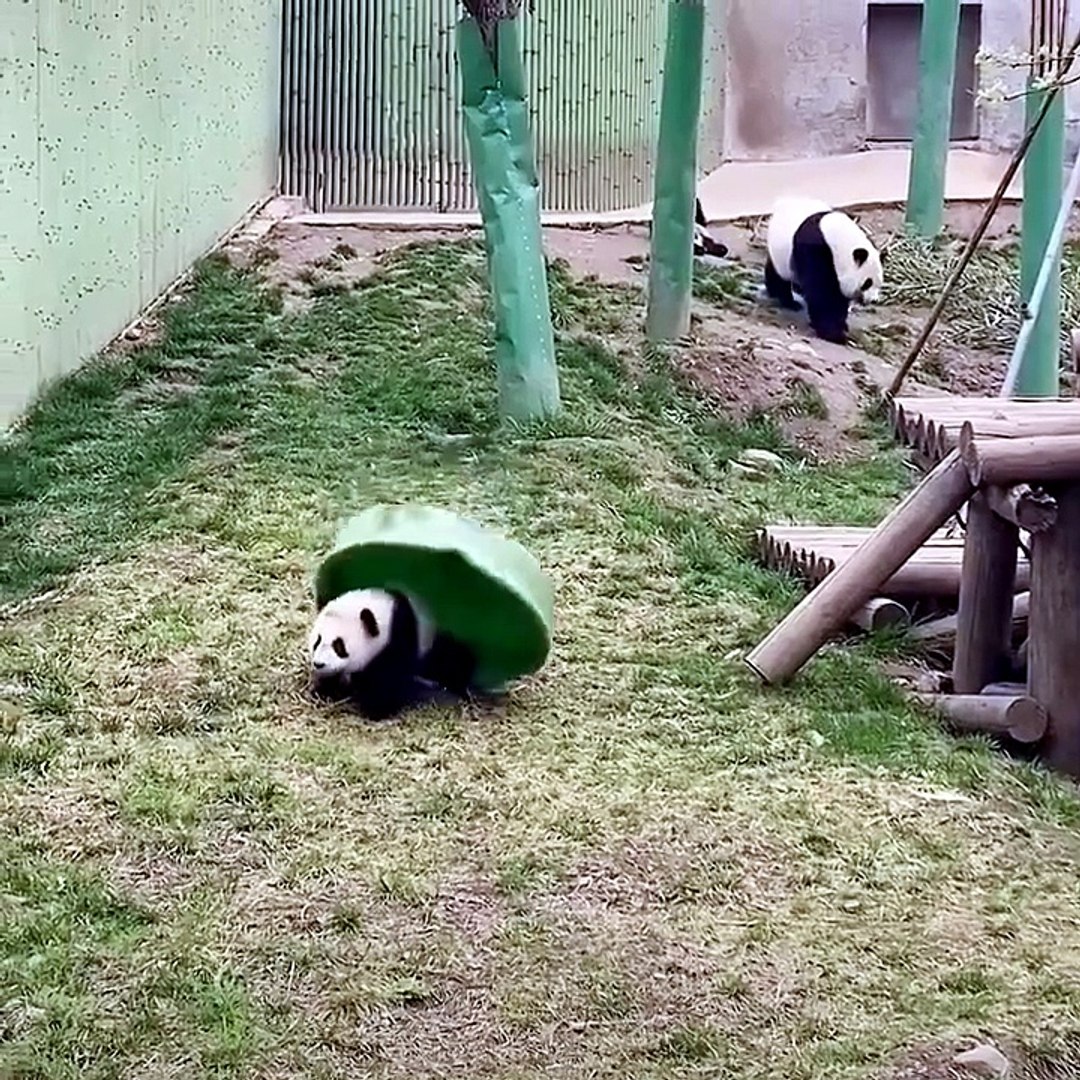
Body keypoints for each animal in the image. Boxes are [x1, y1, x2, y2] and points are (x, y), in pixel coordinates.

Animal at [307, 587, 476, 721]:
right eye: (317, 641)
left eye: (339, 646)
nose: (319, 664)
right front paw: (325, 691)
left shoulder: (400, 638)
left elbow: (388, 679)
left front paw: (376, 708)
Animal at [763, 196, 884, 344]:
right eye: (868, 282)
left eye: (879, 283)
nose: (873, 300)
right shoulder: (815, 251)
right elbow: (822, 294)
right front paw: (835, 335)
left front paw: (842, 325)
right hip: (781, 254)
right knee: (780, 276)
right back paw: (787, 301)